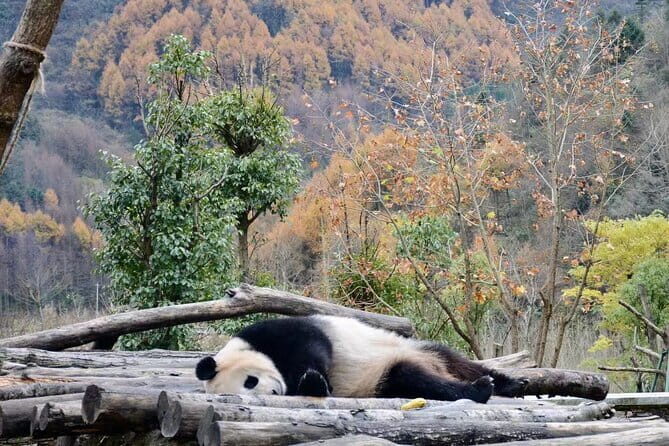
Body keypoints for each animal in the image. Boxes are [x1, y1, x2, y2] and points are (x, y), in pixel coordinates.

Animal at [195, 315, 527, 403]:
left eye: (250, 382)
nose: (275, 392)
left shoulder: (271, 333)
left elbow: (313, 345)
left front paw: (315, 379)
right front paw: (314, 384)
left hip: (418, 348)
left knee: (458, 362)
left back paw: (506, 383)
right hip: (383, 378)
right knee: (414, 379)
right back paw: (481, 388)